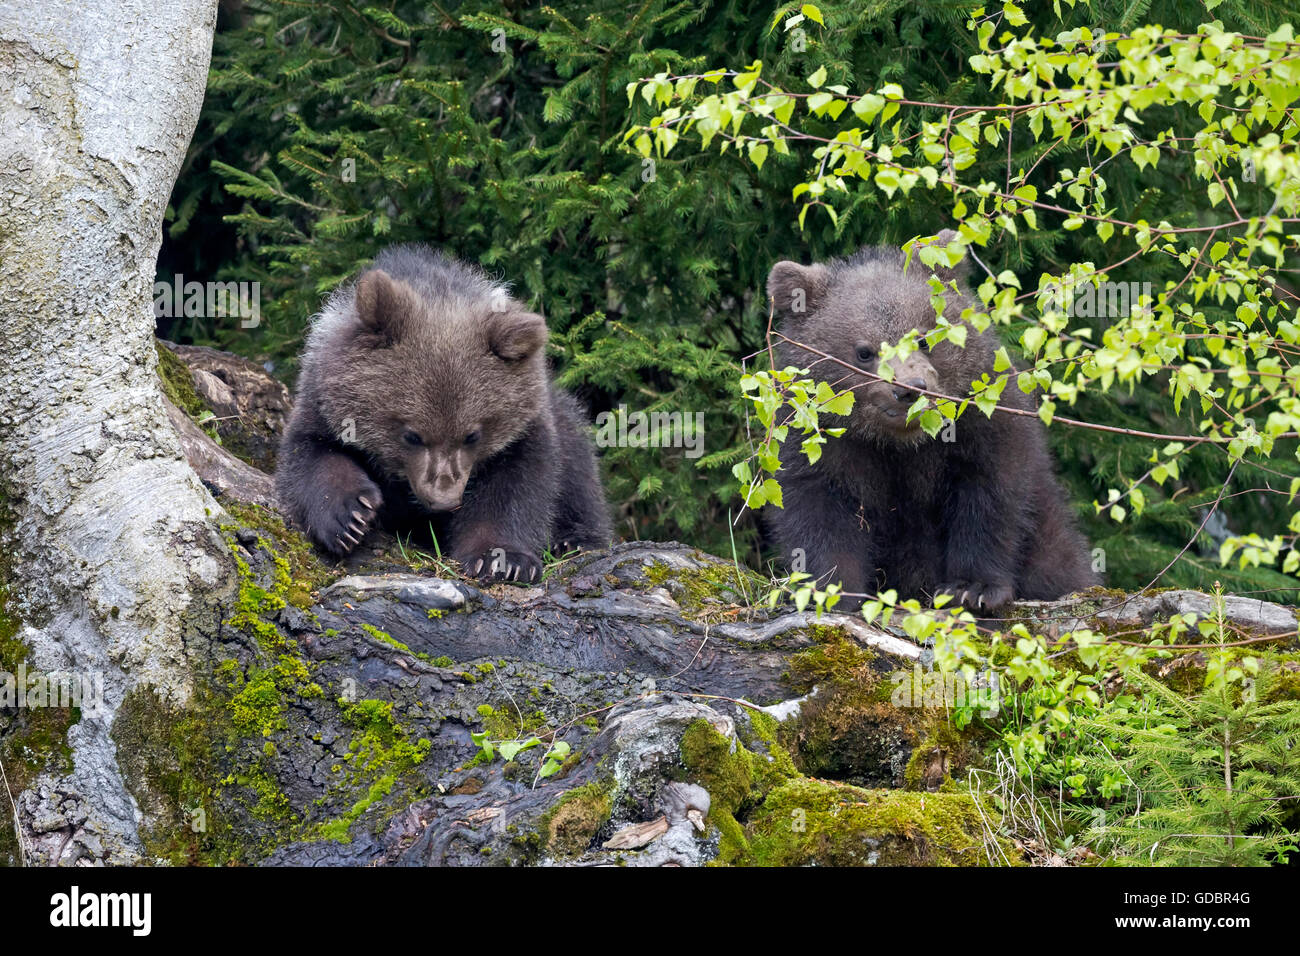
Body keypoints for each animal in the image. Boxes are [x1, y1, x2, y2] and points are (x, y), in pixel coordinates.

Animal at [275, 244, 612, 581]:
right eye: (412, 435)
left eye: (472, 435)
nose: (443, 500)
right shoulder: (322, 403)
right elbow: (312, 454)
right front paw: (351, 516)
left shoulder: (523, 431)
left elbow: (515, 487)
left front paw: (502, 559)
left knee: (580, 476)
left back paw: (574, 541)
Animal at [764, 235, 1098, 613]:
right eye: (864, 351)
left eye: (923, 338)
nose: (909, 389)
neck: (903, 444)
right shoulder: (820, 445)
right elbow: (819, 512)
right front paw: (831, 591)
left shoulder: (983, 427)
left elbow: (990, 498)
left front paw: (973, 587)